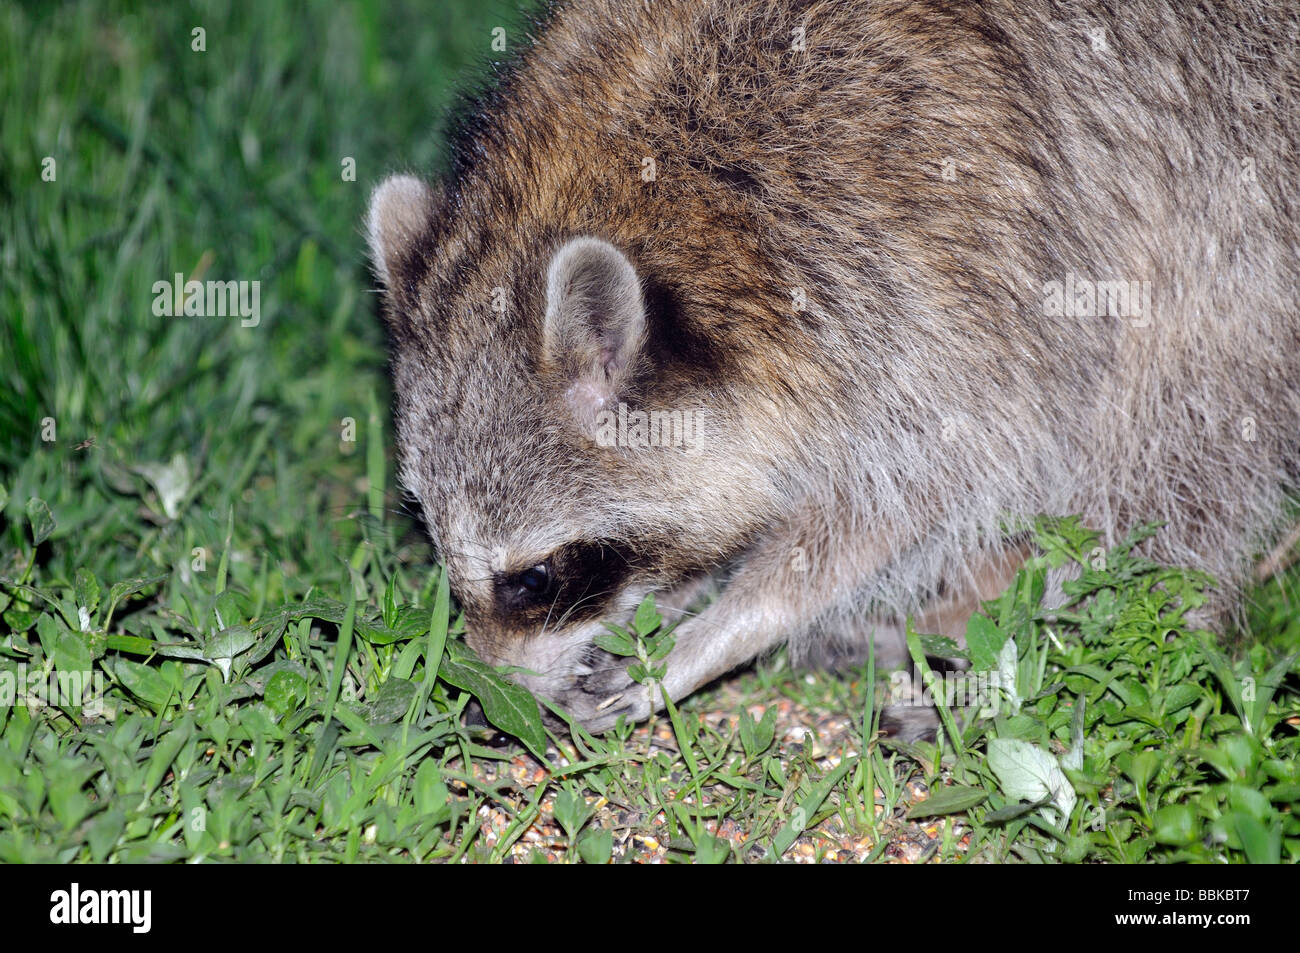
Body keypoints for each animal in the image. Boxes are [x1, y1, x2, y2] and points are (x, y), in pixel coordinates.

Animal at [367, 0, 1300, 732]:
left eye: (538, 577)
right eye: (437, 546)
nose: (492, 706)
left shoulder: (945, 266)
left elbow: (922, 489)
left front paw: (729, 624)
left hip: (1233, 198)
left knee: (1182, 421)